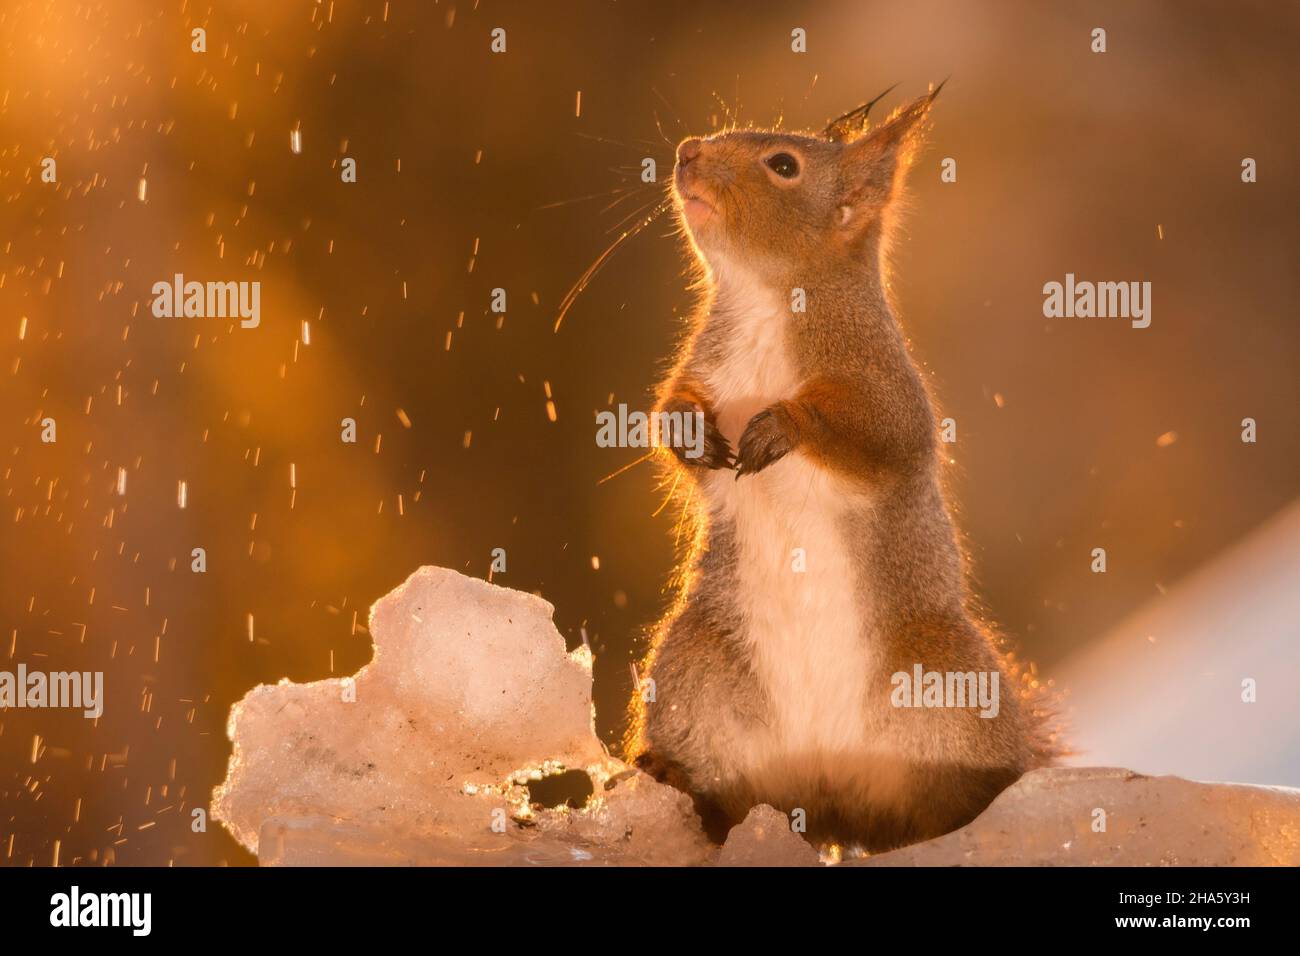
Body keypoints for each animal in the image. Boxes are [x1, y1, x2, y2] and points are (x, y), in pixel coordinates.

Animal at [624, 86, 1059, 851]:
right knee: (717, 787)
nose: (687, 152)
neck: (767, 302)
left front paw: (783, 426)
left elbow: (874, 433)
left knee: (945, 796)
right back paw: (672, 777)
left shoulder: (884, 384)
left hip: (947, 687)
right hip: (693, 680)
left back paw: (976, 805)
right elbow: (667, 414)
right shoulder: (705, 368)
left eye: (784, 165)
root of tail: (824, 788)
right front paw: (693, 433)